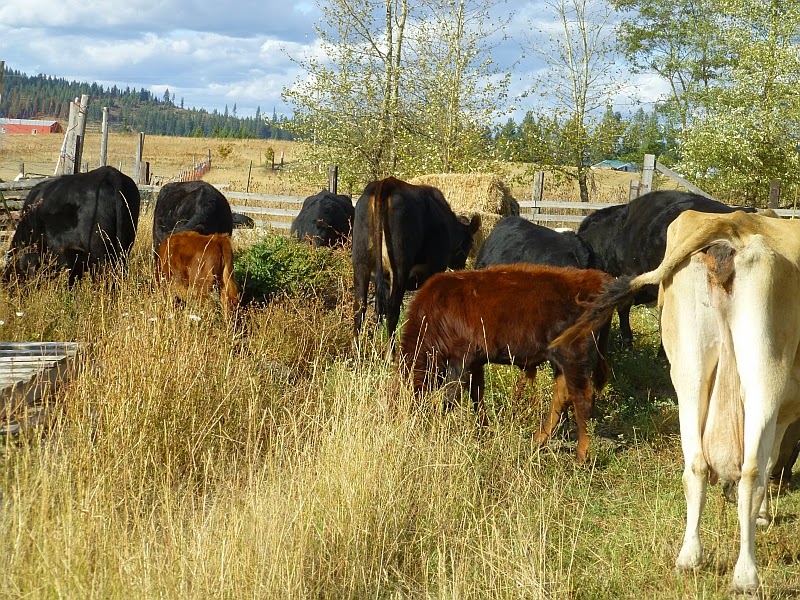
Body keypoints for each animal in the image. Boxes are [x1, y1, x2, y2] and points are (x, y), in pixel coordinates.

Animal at [352, 176, 481, 344]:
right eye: (470, 242)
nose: (460, 265)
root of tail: (385, 184)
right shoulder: (433, 269)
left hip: (361, 263)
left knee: (360, 307)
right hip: (399, 267)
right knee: (392, 311)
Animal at [399, 263, 612, 463]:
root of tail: (596, 280)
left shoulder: (461, 360)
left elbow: (450, 398)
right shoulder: (475, 363)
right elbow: (477, 395)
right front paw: (483, 432)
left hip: (572, 357)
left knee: (582, 397)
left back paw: (582, 456)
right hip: (561, 362)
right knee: (562, 395)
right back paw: (537, 441)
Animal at [551, 210, 800, 593]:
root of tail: (733, 225)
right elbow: (771, 456)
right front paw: (762, 516)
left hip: (688, 366)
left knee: (696, 465)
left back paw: (689, 557)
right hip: (764, 369)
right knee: (751, 472)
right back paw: (745, 575)